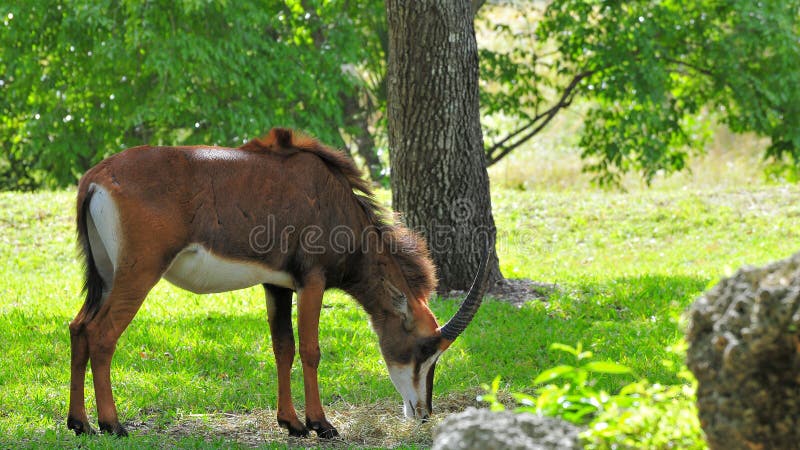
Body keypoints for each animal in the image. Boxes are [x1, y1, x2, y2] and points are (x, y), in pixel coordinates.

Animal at [68, 128, 489, 438]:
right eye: (424, 350)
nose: (422, 413)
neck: (332, 197)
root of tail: (95, 179)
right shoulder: (312, 281)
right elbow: (310, 350)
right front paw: (322, 425)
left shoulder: (277, 285)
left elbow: (282, 348)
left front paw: (292, 424)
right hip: (138, 273)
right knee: (102, 334)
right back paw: (112, 424)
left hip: (106, 275)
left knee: (79, 327)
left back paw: (80, 424)